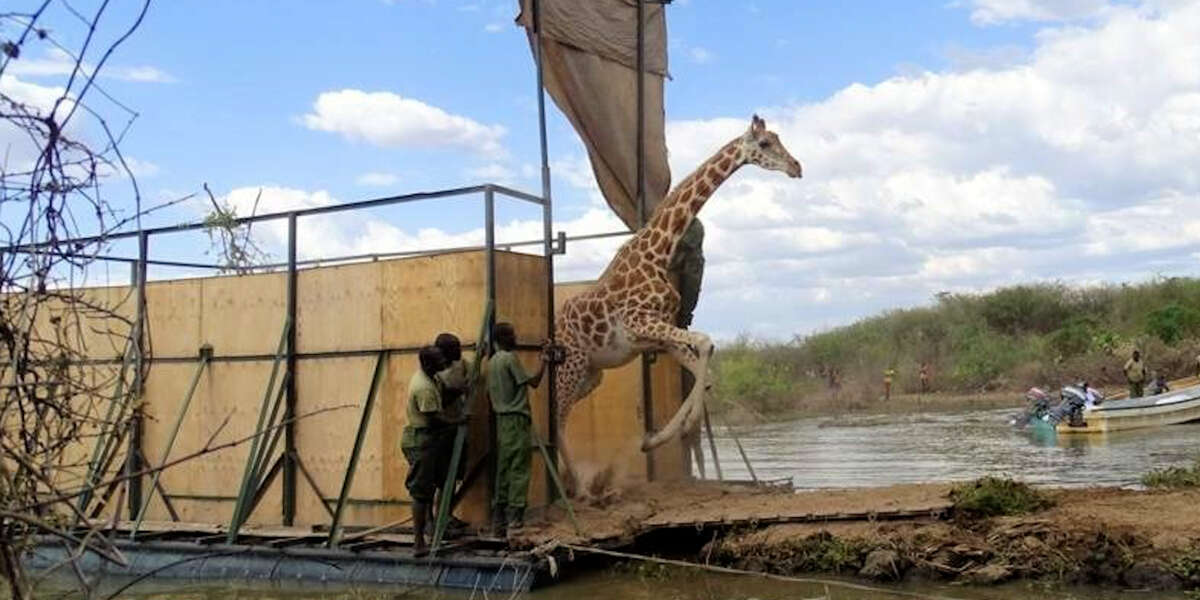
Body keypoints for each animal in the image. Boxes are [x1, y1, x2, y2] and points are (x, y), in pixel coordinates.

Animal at [552, 115, 802, 483]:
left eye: (778, 137)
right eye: (765, 143)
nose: (796, 166)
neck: (659, 252)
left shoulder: (657, 334)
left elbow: (704, 367)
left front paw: (658, 438)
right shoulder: (640, 323)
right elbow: (705, 342)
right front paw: (672, 432)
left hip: (591, 374)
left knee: (560, 417)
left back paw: (579, 484)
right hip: (571, 367)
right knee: (554, 416)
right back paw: (577, 487)